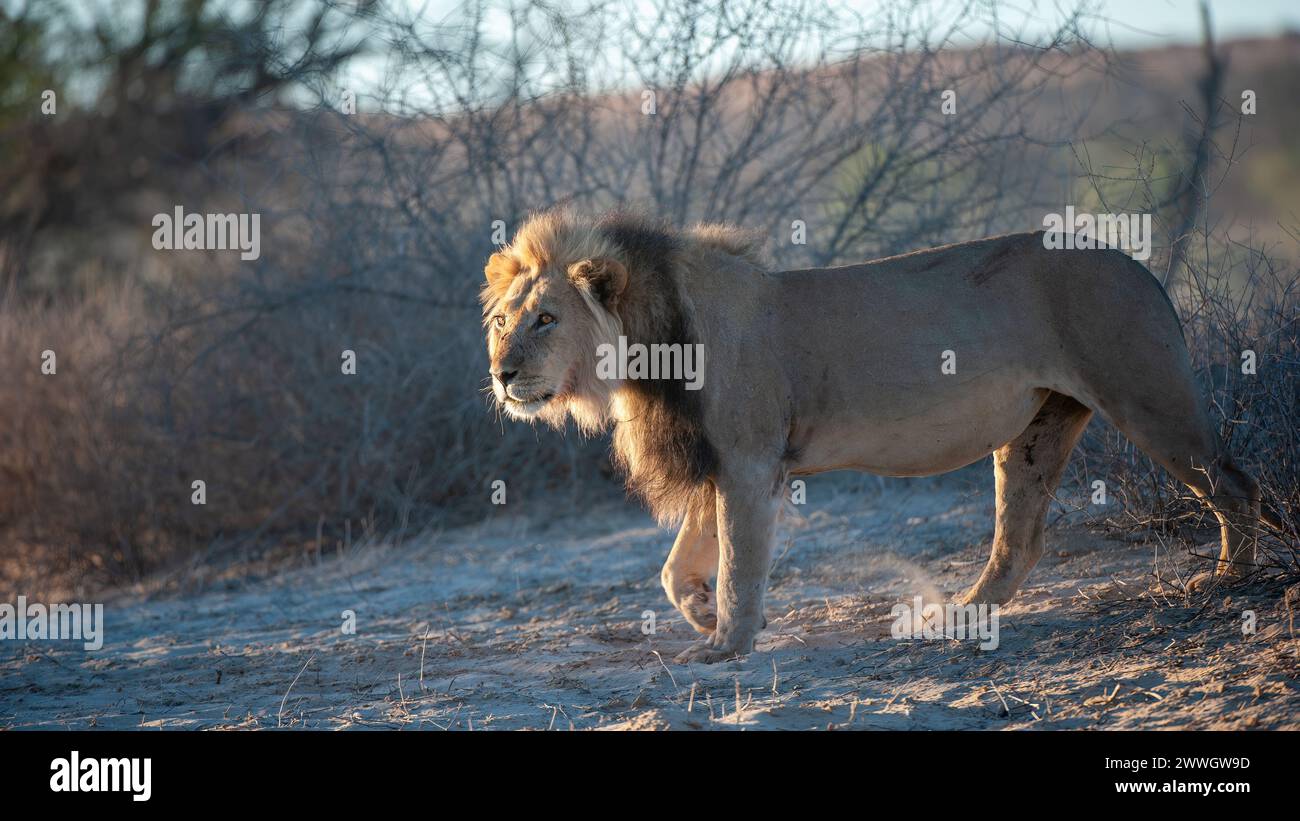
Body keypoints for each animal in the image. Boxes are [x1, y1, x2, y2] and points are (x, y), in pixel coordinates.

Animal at [481, 207, 1265, 664]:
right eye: (502, 321)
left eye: (547, 318)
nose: (502, 372)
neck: (643, 348)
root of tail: (1139, 267)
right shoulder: (719, 463)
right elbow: (678, 569)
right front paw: (704, 616)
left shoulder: (748, 461)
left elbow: (738, 563)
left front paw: (727, 644)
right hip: (1040, 427)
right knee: (1018, 543)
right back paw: (958, 617)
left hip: (1147, 396)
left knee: (1236, 481)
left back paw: (1230, 577)